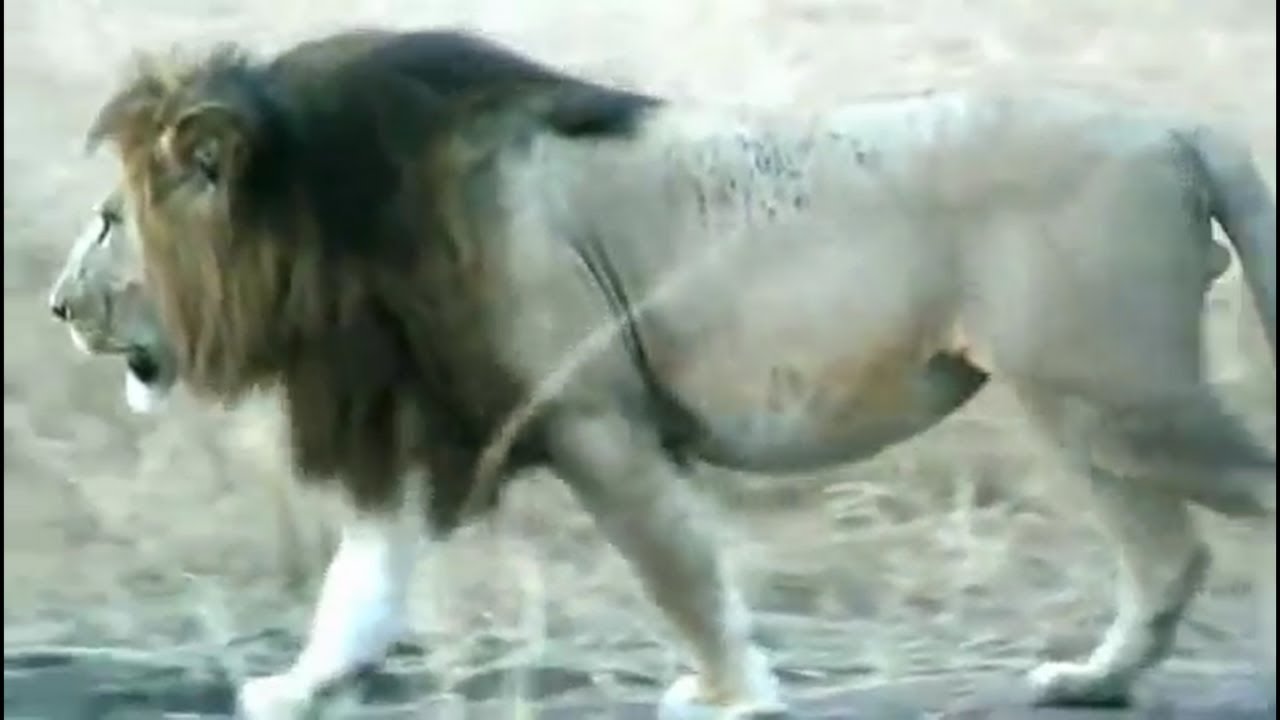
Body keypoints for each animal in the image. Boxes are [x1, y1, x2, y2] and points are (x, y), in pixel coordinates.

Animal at [64, 27, 1275, 719]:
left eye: (110, 221)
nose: (57, 306)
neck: (332, 230)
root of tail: (1172, 126)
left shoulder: (595, 419)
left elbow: (678, 571)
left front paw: (732, 696)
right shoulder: (426, 426)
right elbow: (357, 591)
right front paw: (290, 690)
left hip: (1121, 397)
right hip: (1089, 407)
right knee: (1166, 559)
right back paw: (1093, 683)